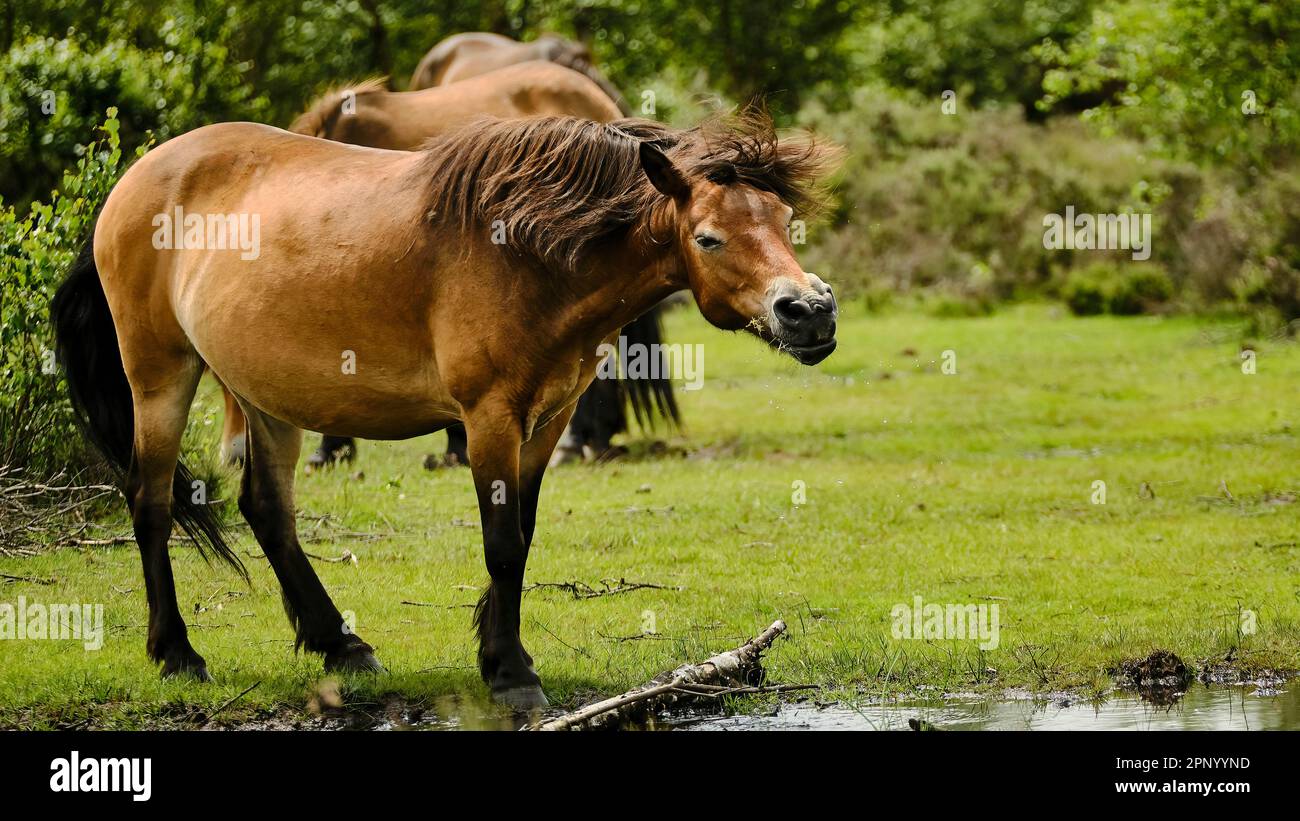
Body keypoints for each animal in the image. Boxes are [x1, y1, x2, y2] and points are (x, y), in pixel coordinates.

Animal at [52, 110, 839, 708]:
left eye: (783, 219)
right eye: (708, 236)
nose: (809, 312)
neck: (529, 250)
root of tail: (131, 184)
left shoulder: (546, 422)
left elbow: (522, 535)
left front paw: (498, 650)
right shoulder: (488, 418)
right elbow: (503, 544)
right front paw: (513, 674)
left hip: (264, 394)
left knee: (267, 511)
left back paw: (339, 643)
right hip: (160, 377)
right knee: (152, 503)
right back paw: (177, 653)